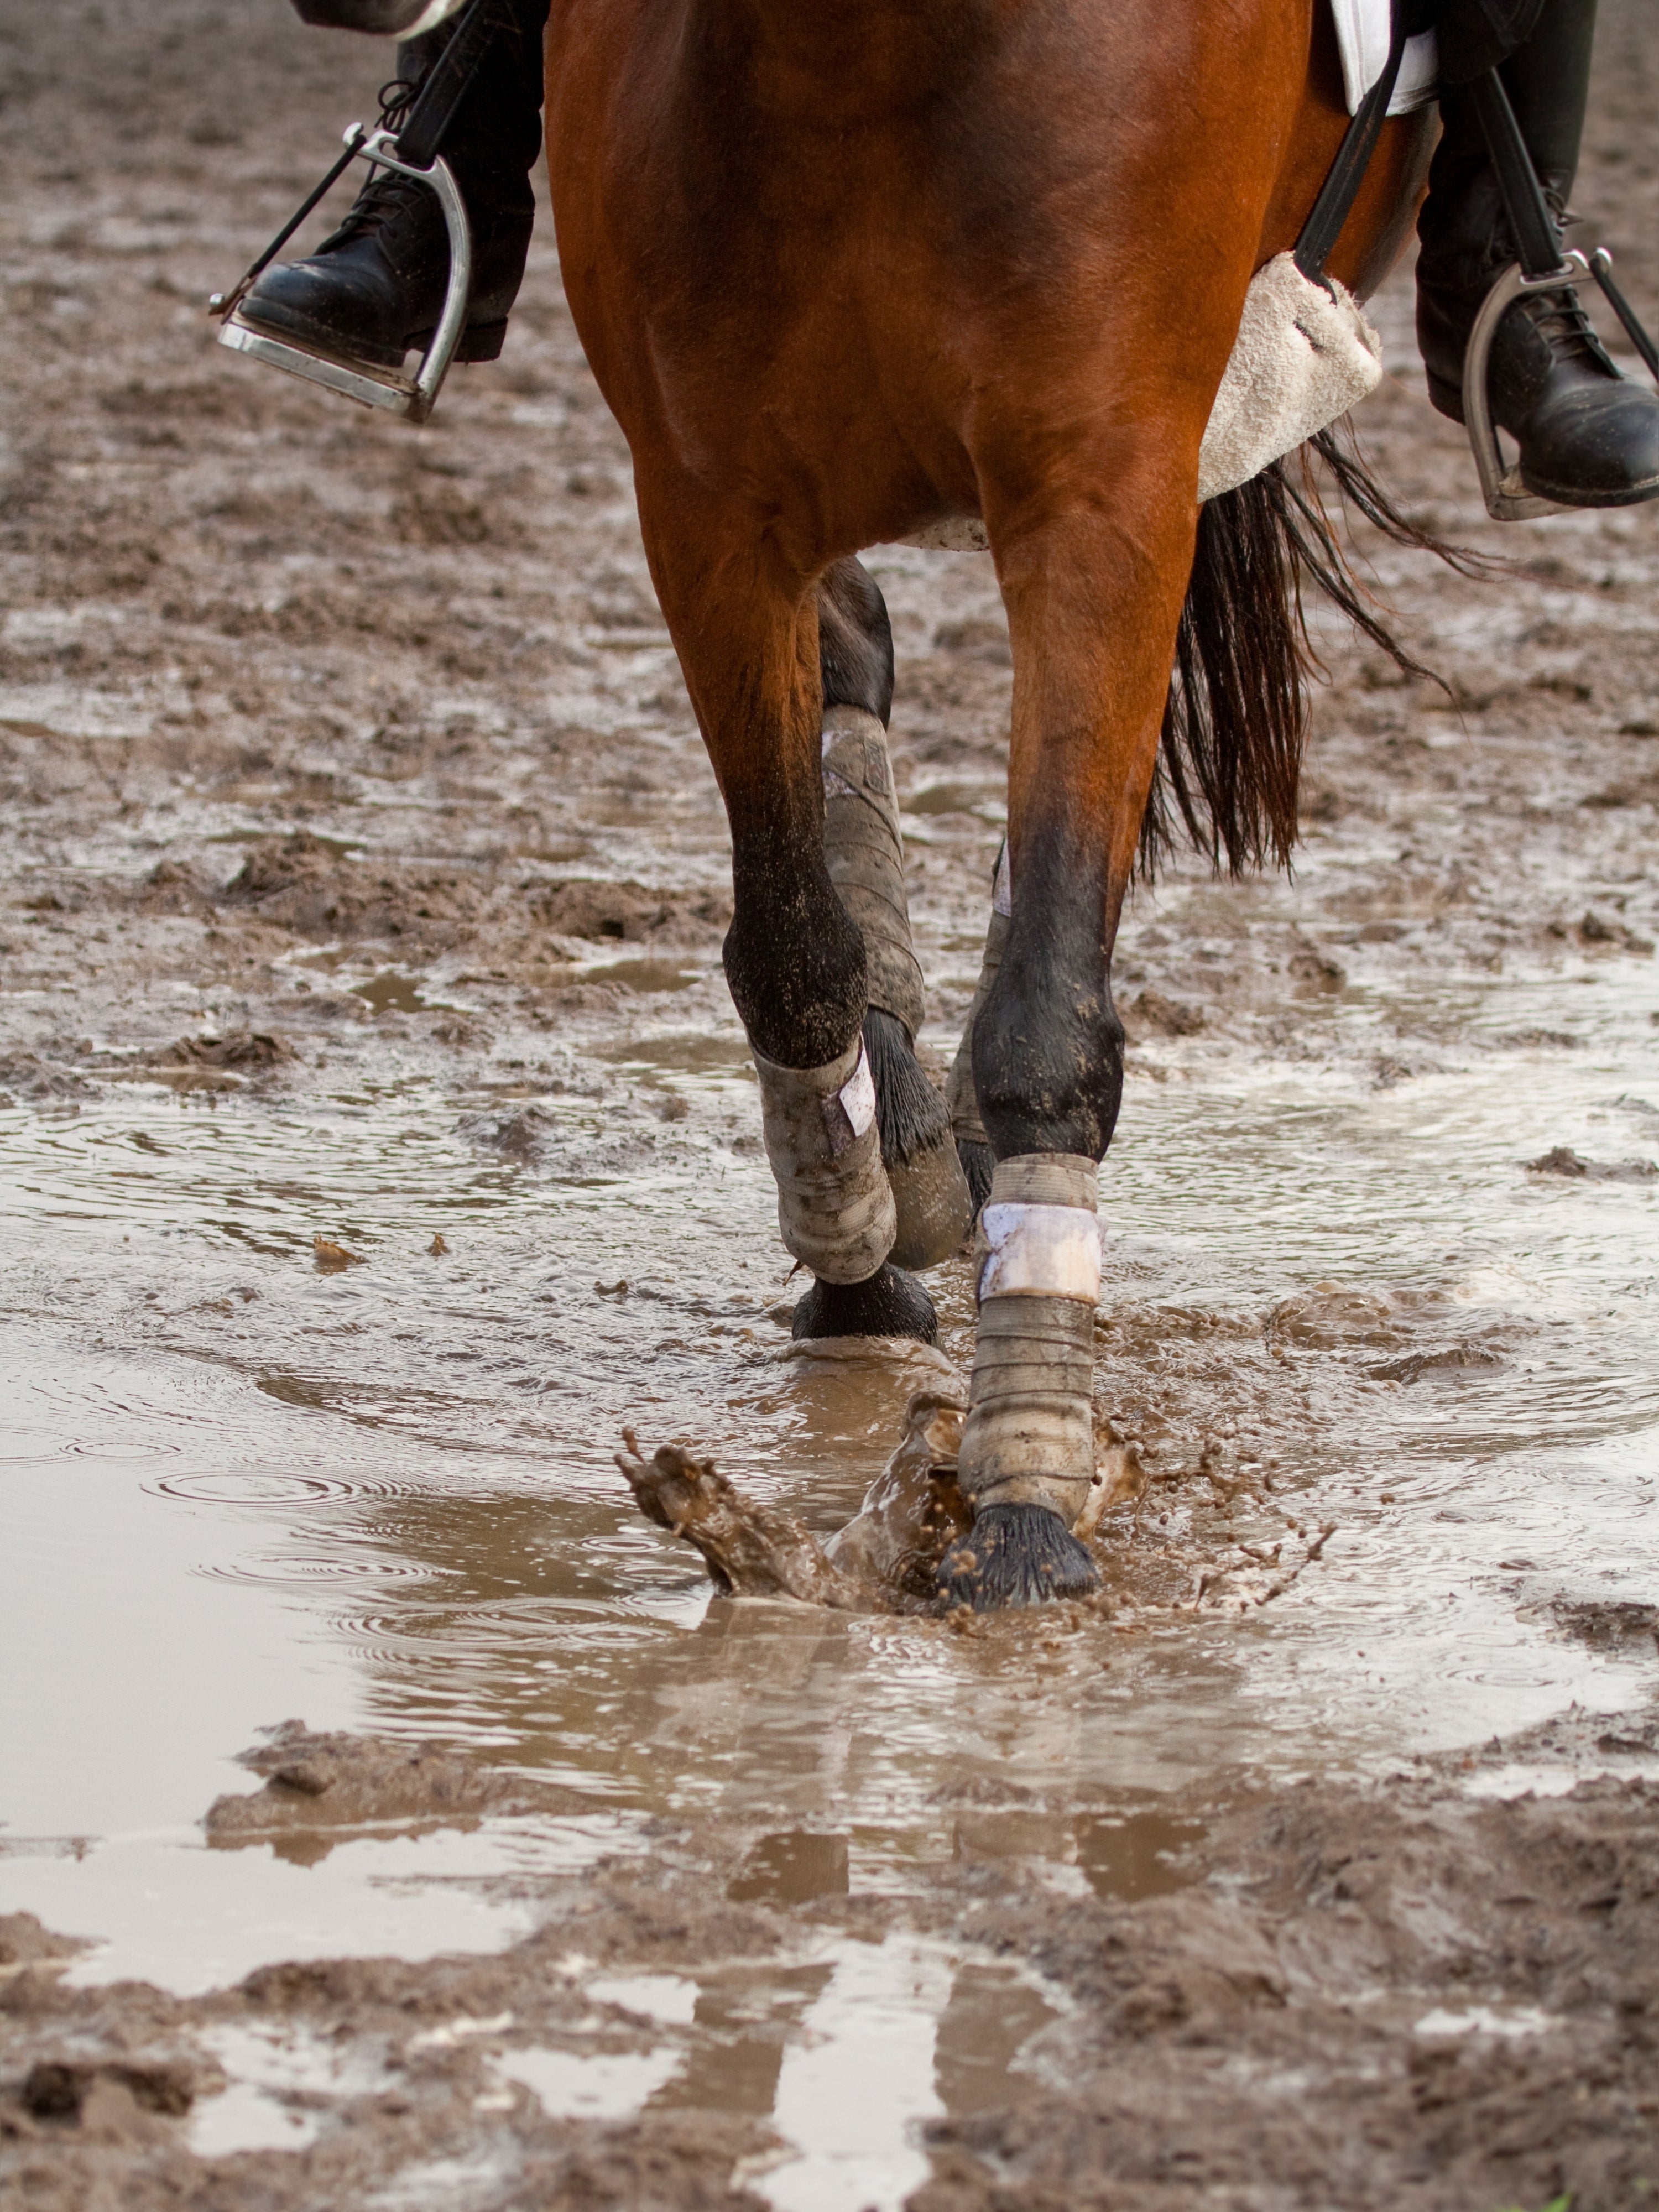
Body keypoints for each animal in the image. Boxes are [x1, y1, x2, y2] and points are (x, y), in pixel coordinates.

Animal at [281, 0, 1441, 1608]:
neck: (861, 47)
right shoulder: (710, 506)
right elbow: (791, 943)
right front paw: (857, 1266)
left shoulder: (1105, 494)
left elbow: (1048, 1002)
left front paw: (1023, 1487)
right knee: (859, 661)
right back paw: (909, 1151)